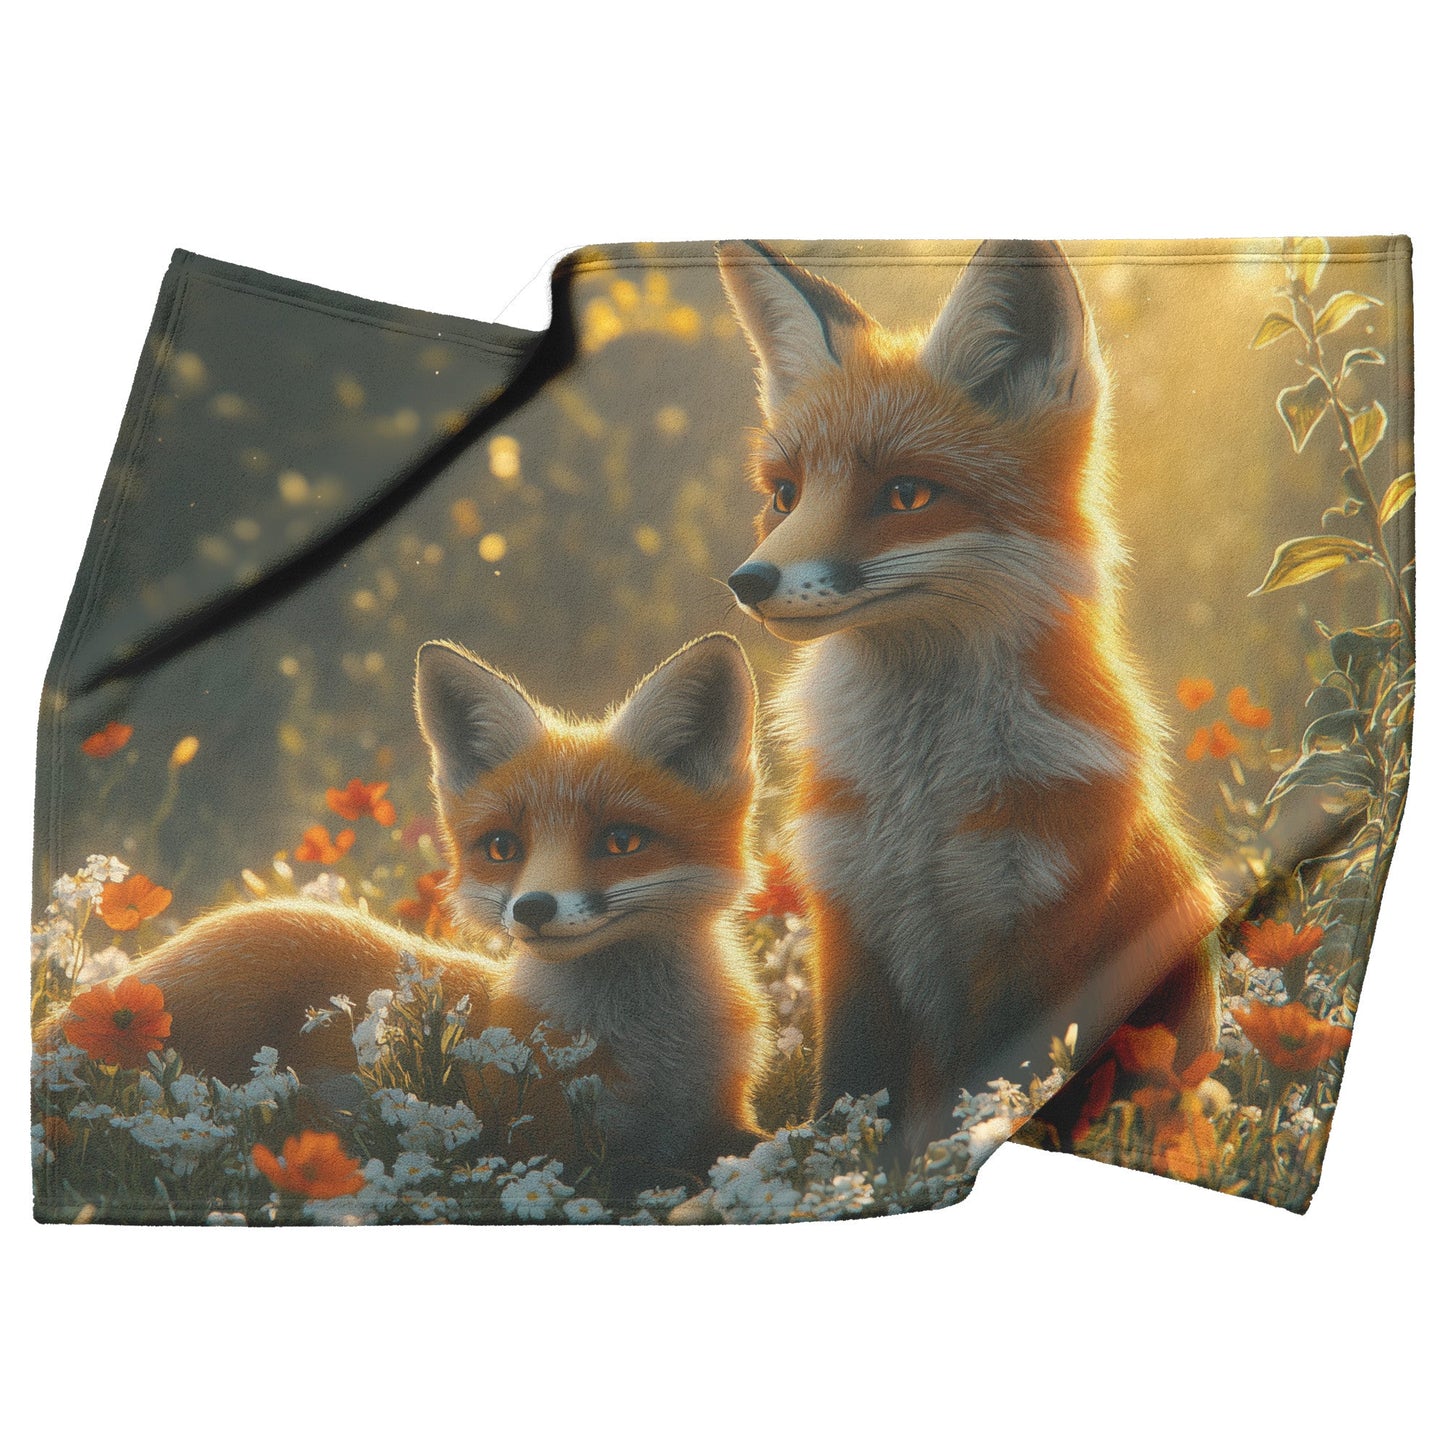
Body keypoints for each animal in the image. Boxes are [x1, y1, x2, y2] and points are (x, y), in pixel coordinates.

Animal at [41, 633, 770, 1183]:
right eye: (502, 847)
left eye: (621, 841)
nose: (533, 908)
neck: (653, 1053)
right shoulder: (550, 1142)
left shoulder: (722, 1120)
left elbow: (770, 1143)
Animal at [716, 239, 1223, 1155]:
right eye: (784, 494)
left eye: (906, 494)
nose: (749, 581)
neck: (922, 797)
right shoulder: (846, 910)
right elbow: (852, 1085)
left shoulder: (1040, 918)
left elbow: (999, 1085)